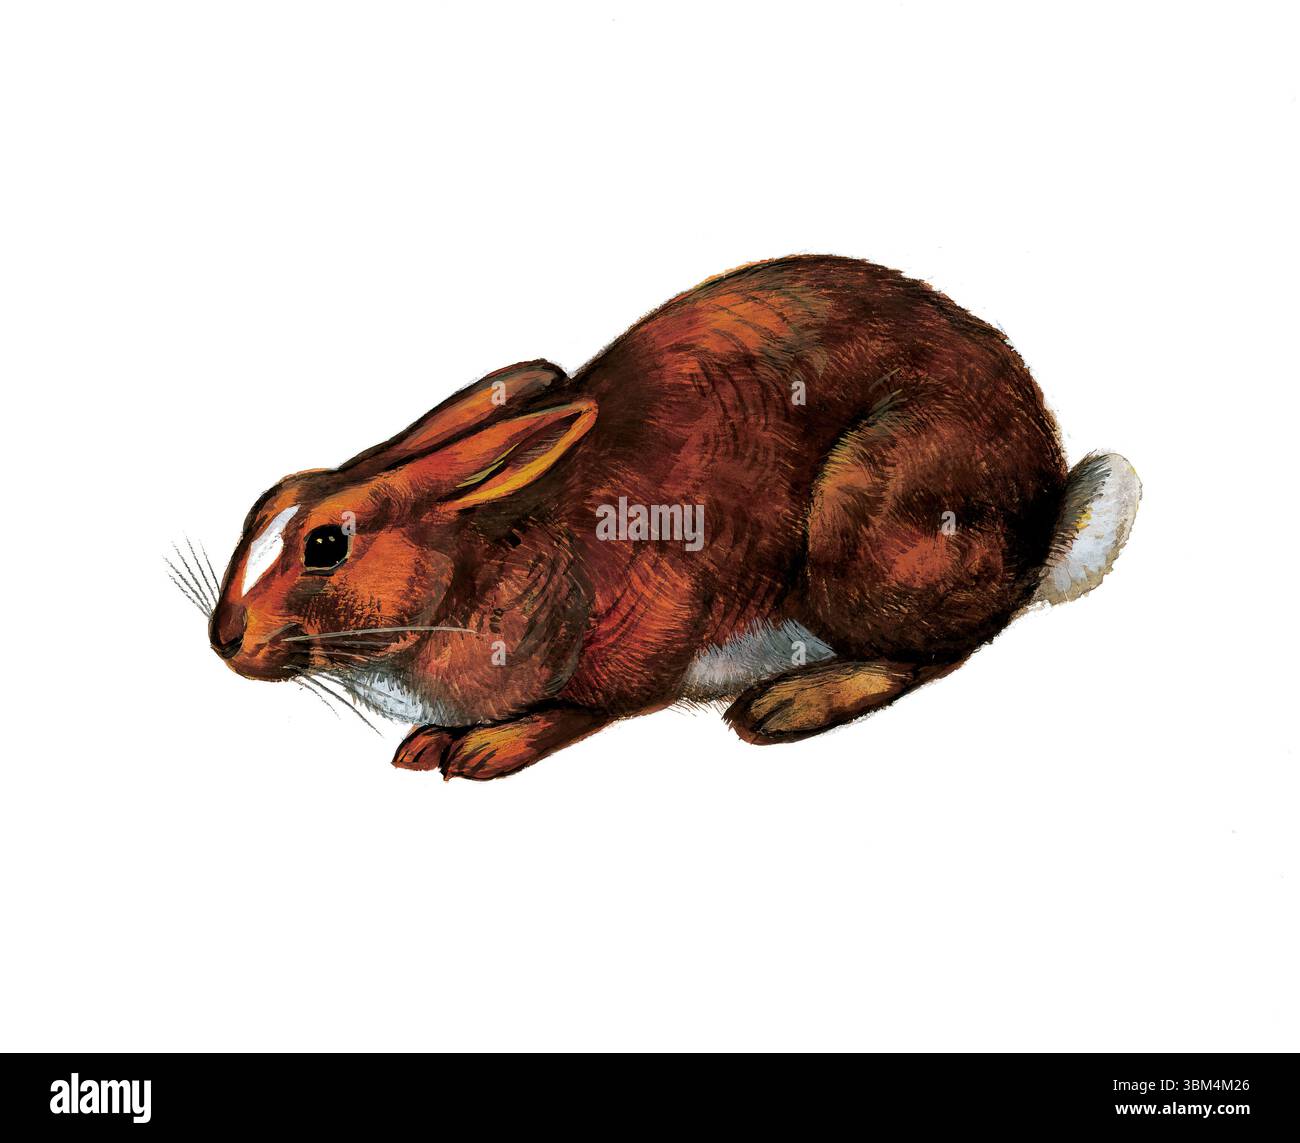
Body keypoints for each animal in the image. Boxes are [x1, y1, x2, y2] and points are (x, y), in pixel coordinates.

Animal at [200, 255, 1139, 780]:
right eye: (261, 509)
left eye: (327, 544)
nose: (223, 637)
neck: (483, 553)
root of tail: (1041, 517)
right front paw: (426, 745)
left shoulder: (652, 623)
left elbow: (594, 705)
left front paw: (485, 748)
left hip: (864, 525)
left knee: (944, 648)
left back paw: (788, 704)